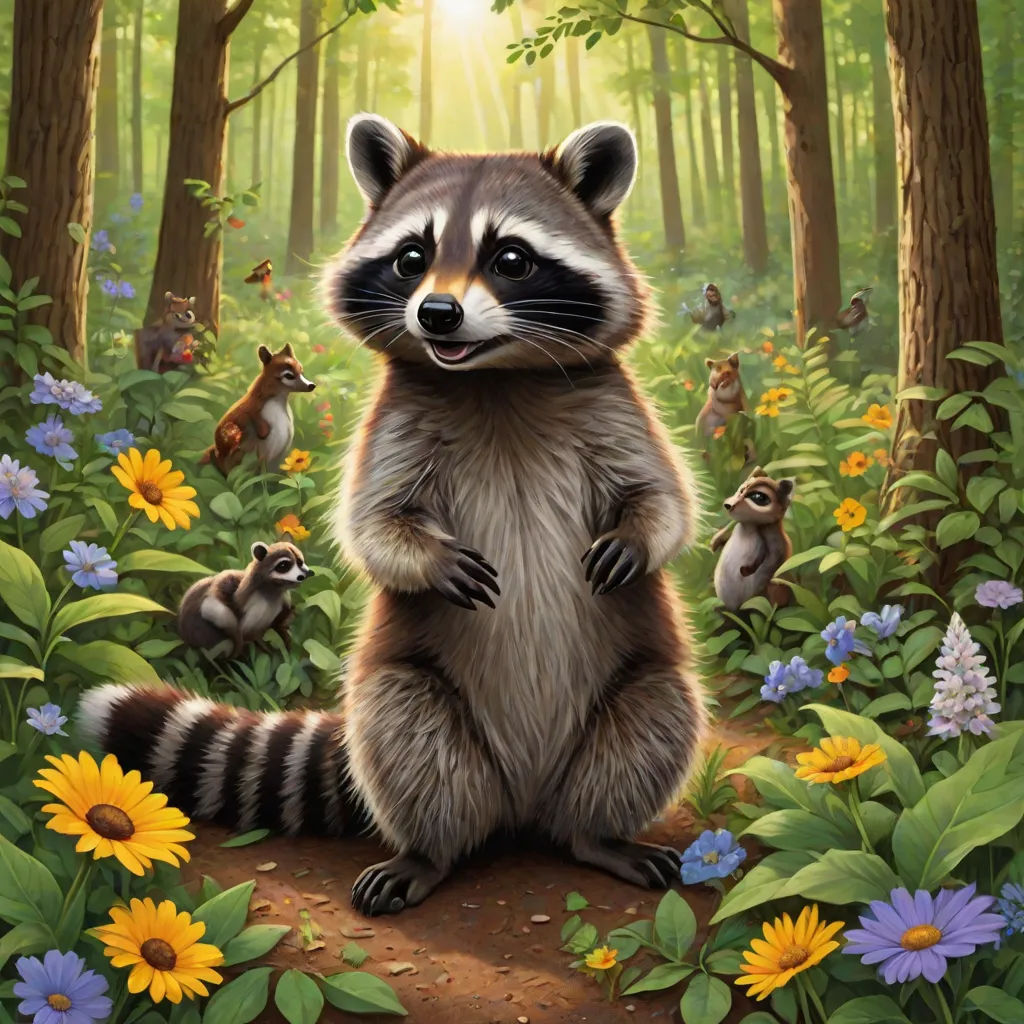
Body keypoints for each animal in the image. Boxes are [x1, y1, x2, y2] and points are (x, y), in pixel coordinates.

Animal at [79, 115, 705, 917]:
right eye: (412, 258)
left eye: (511, 259)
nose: (438, 313)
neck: (493, 376)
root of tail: (524, 803)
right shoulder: (394, 423)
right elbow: (370, 521)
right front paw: (427, 556)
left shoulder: (617, 406)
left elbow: (665, 497)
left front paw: (634, 535)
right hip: (413, 692)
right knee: (408, 741)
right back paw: (428, 852)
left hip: (632, 688)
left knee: (656, 717)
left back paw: (599, 835)